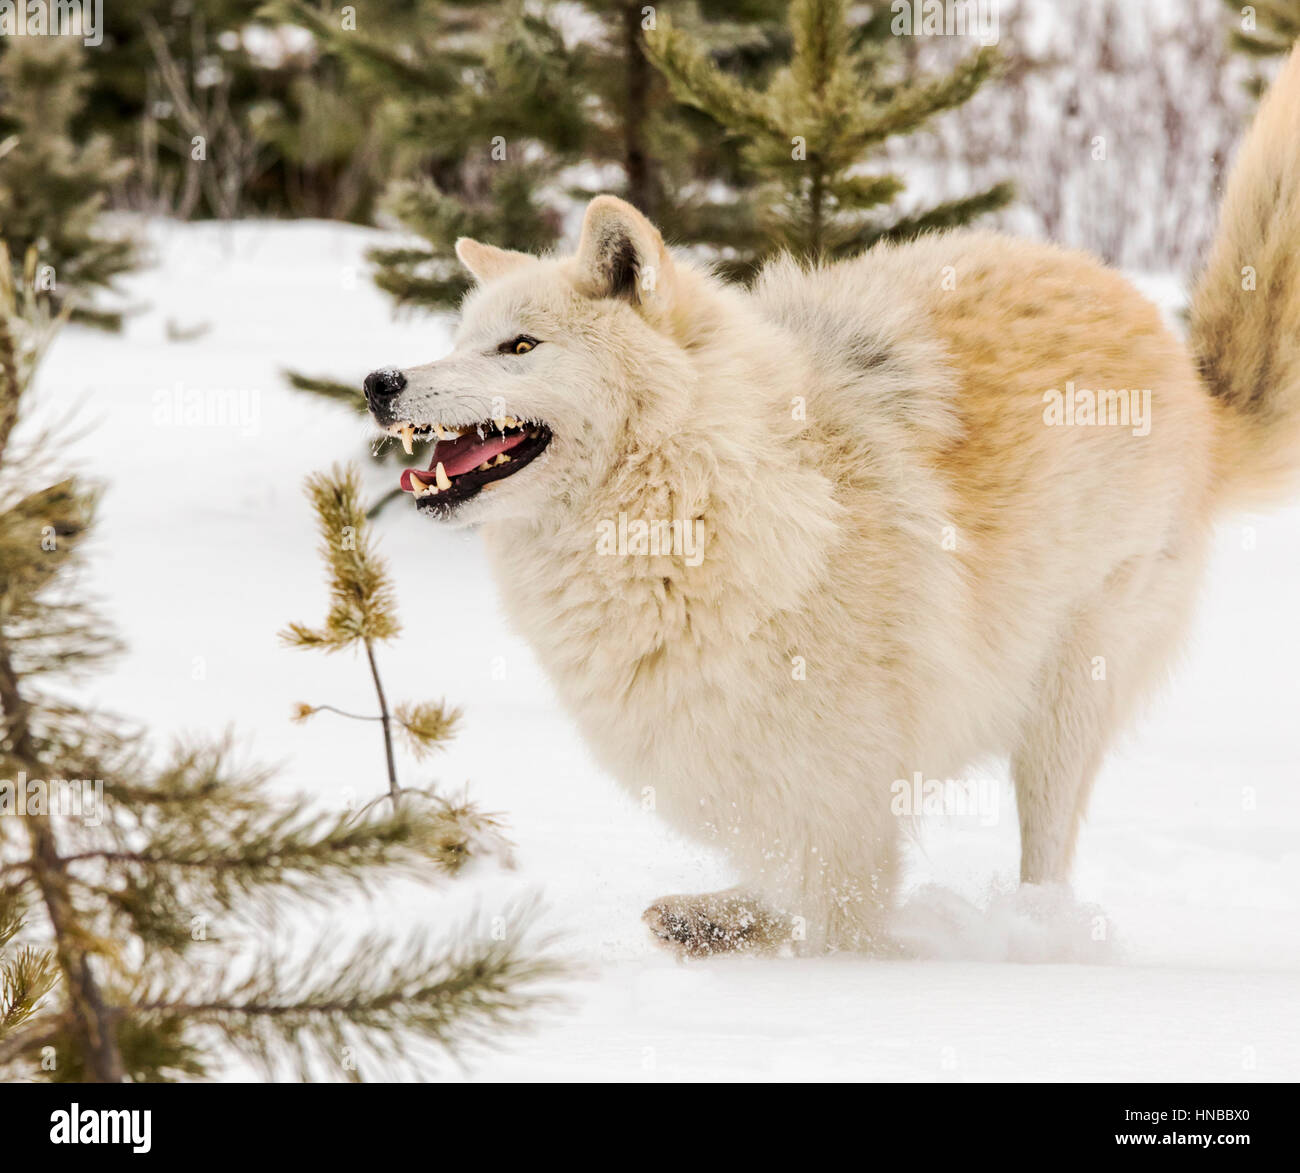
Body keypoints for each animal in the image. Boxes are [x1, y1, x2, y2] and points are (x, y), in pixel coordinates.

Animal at [364, 48, 1300, 956]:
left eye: (519, 346)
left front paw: (836, 980)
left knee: (1049, 859)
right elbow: (784, 867)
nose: (380, 381)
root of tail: (1192, 377)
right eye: (458, 340)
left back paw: (1032, 934)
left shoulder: (850, 785)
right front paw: (740, 925)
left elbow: (842, 917)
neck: (693, 497)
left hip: (1066, 699)